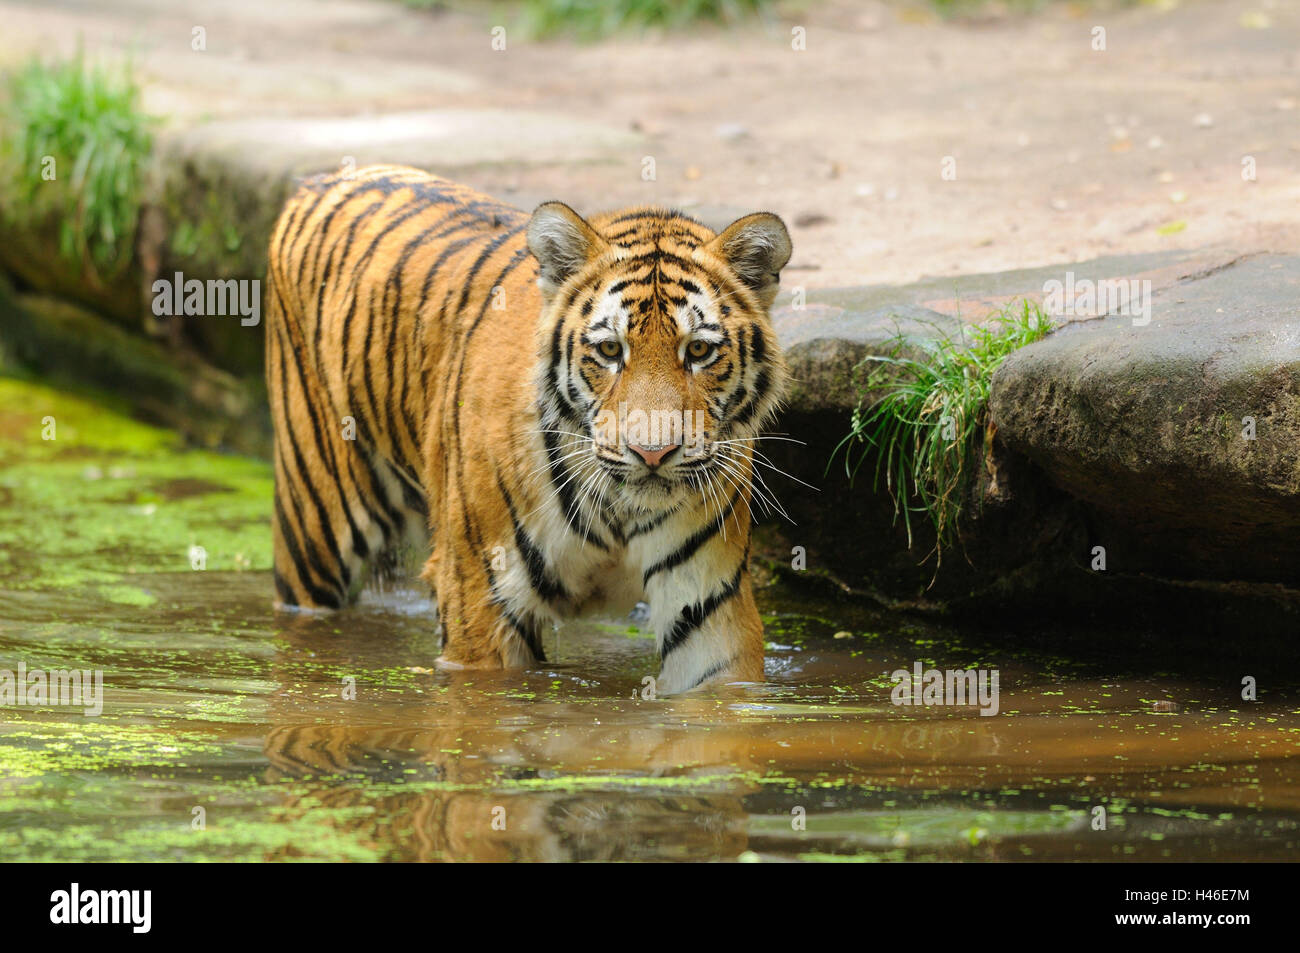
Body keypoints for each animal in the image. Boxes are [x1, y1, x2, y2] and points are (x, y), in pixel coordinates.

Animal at [265, 164, 792, 694]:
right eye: (610, 350)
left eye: (699, 351)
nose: (652, 453)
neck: (618, 516)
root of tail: (331, 176)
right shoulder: (482, 600)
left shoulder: (708, 608)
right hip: (313, 534)